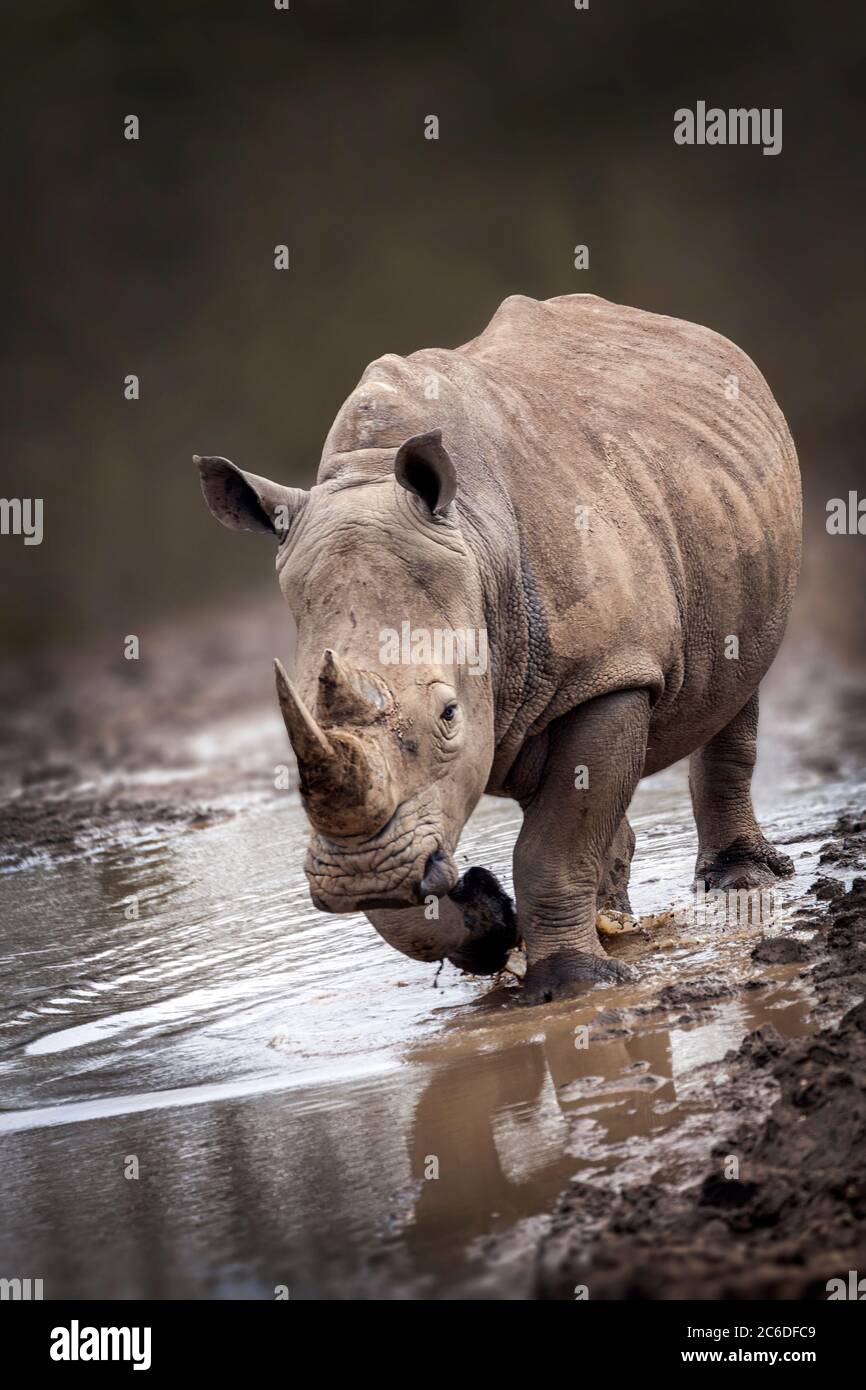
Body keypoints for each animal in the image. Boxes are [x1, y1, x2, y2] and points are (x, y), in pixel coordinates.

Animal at [196, 293, 801, 1004]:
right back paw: (615, 920)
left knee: (736, 683)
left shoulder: (610, 673)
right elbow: (415, 890)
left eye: (449, 715)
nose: (360, 877)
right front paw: (488, 923)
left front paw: (575, 987)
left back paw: (740, 884)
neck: (477, 550)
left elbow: (553, 845)